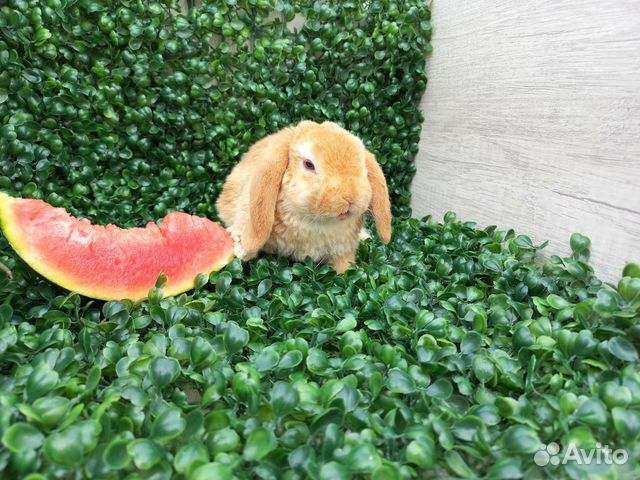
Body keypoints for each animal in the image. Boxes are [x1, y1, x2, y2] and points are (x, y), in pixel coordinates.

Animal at [216, 120, 392, 274]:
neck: (316, 224)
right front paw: (239, 246)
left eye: (363, 167)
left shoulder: (342, 250)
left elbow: (344, 267)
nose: (350, 198)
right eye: (309, 165)